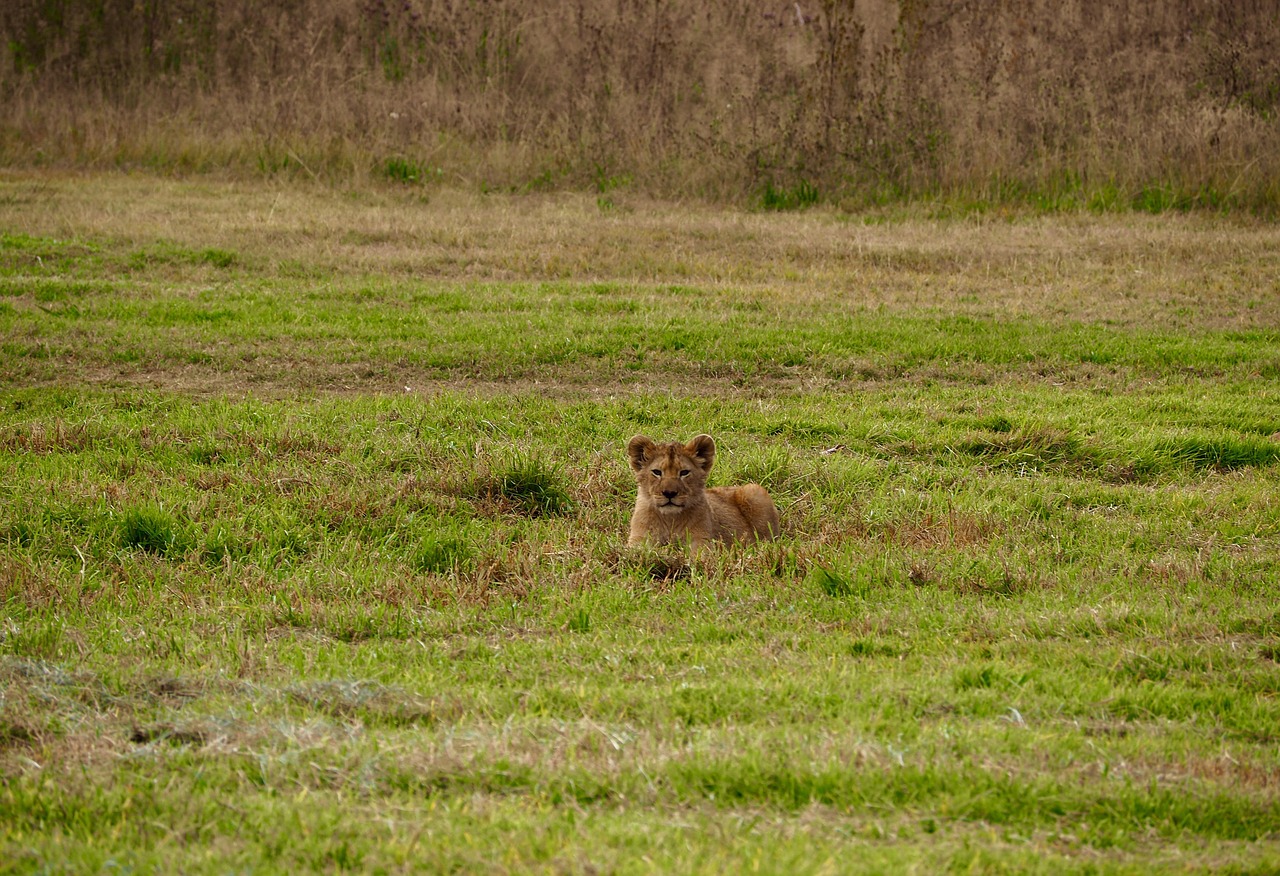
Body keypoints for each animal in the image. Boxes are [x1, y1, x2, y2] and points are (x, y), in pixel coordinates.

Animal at [626, 434, 780, 552]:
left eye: (684, 472)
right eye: (657, 472)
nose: (669, 493)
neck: (670, 519)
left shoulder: (702, 540)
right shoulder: (638, 538)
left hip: (753, 490)